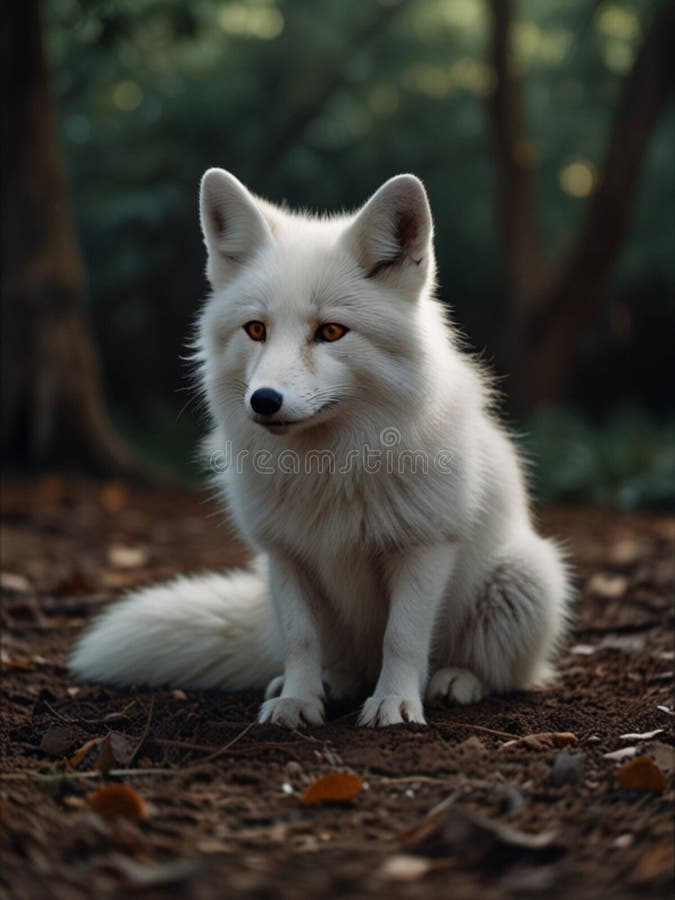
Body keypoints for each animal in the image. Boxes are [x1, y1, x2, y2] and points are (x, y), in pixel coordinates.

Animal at [70, 169, 572, 728]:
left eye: (330, 332)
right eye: (256, 329)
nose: (264, 401)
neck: (328, 468)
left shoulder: (425, 548)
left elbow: (402, 637)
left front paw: (395, 703)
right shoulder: (285, 556)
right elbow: (300, 640)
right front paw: (297, 701)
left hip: (524, 579)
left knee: (504, 672)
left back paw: (456, 681)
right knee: (334, 660)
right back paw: (327, 683)